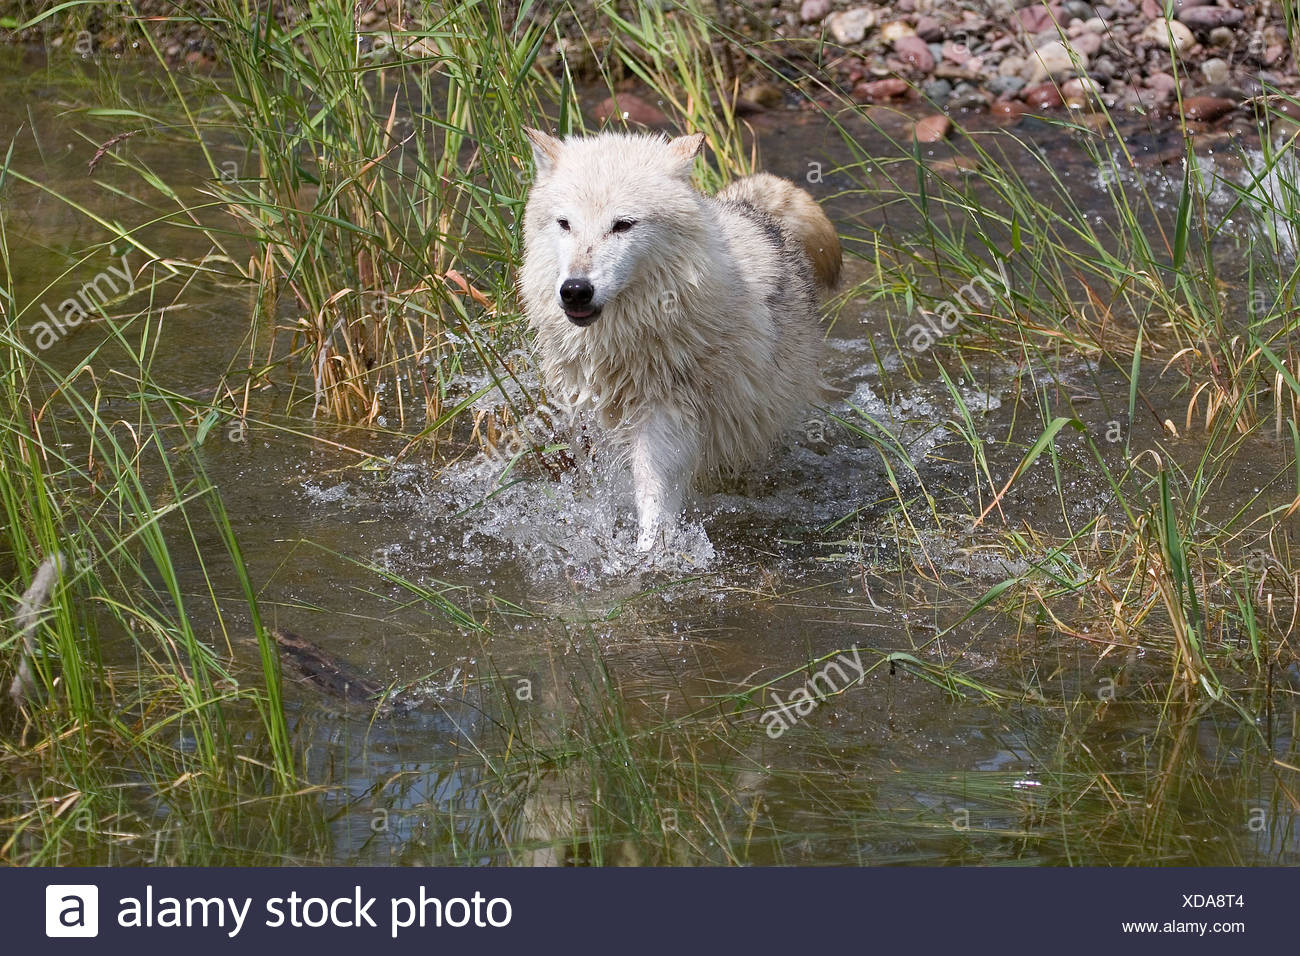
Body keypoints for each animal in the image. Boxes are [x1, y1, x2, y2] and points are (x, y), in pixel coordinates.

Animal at [519, 128, 842, 550]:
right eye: (565, 223)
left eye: (622, 225)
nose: (575, 290)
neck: (627, 338)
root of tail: (747, 208)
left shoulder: (666, 413)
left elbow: (653, 493)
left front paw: (648, 554)